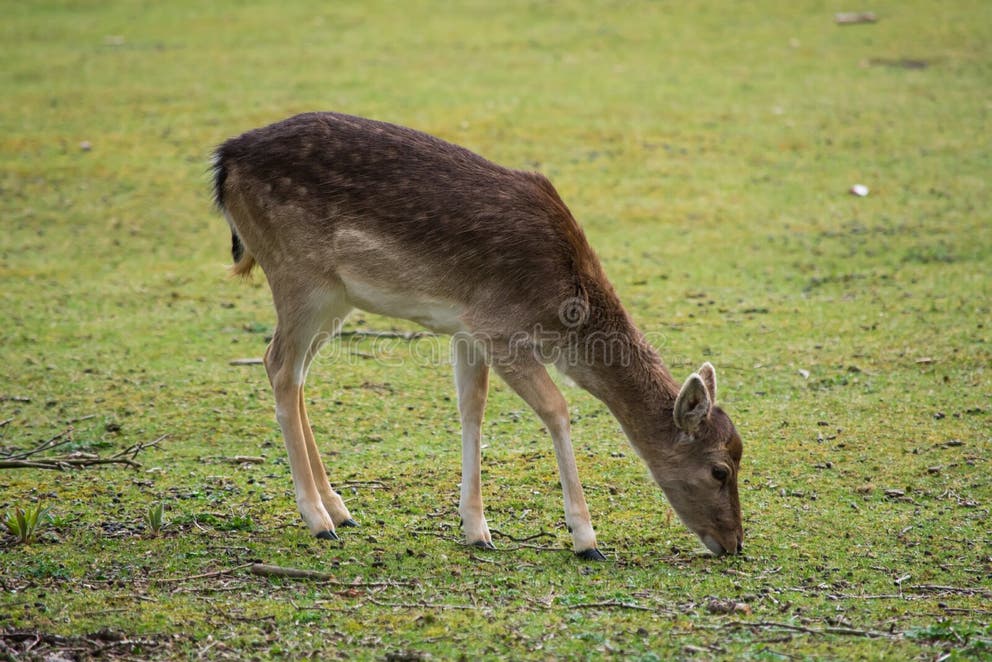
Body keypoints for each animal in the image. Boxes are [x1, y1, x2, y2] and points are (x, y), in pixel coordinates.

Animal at [211, 112, 743, 560]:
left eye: (740, 454)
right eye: (720, 469)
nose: (735, 543)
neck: (565, 309)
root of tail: (225, 159)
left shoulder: (467, 332)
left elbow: (473, 409)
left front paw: (477, 530)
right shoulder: (501, 329)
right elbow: (557, 409)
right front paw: (585, 539)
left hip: (335, 298)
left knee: (292, 371)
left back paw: (340, 509)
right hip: (300, 276)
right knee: (280, 366)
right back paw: (318, 520)